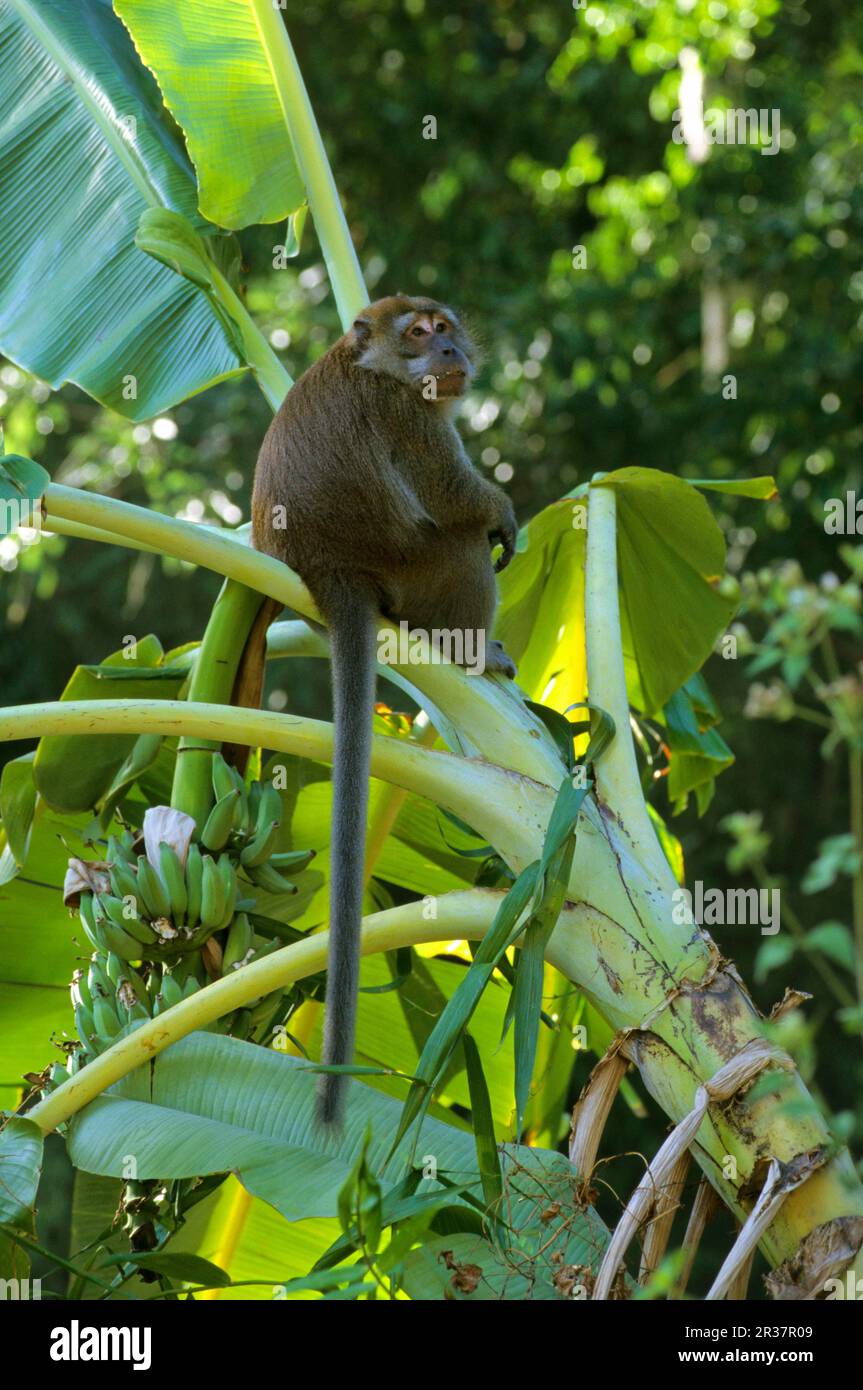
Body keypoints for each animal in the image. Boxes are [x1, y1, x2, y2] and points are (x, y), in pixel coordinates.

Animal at [240, 295, 518, 1127]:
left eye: (444, 326)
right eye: (420, 333)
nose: (450, 350)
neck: (371, 363)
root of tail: (330, 572)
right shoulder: (409, 414)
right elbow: (459, 498)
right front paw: (502, 509)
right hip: (416, 567)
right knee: (459, 545)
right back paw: (476, 655)